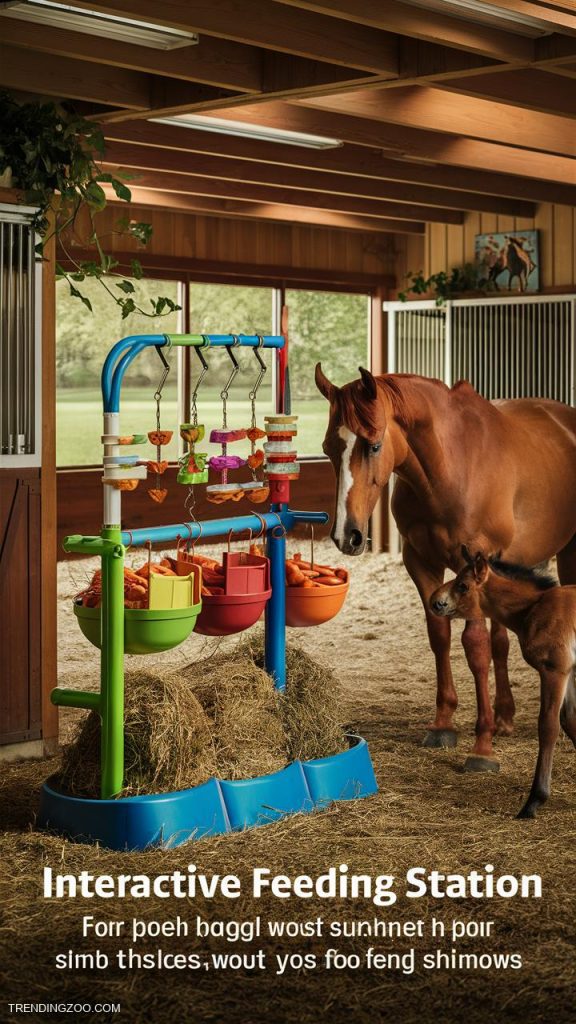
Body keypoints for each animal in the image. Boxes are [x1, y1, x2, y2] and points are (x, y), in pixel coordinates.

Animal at [315, 365, 576, 772]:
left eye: (373, 445)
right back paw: (505, 716)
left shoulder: (472, 567)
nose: (348, 535)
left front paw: (482, 746)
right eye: (329, 448)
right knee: (502, 640)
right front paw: (443, 724)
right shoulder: (421, 563)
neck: (448, 467)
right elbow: (440, 635)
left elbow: (476, 646)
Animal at [430, 550, 576, 818]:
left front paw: (534, 801)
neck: (535, 607)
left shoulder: (554, 671)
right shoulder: (568, 670)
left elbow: (549, 727)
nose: (435, 602)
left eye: (463, 585)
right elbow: (569, 719)